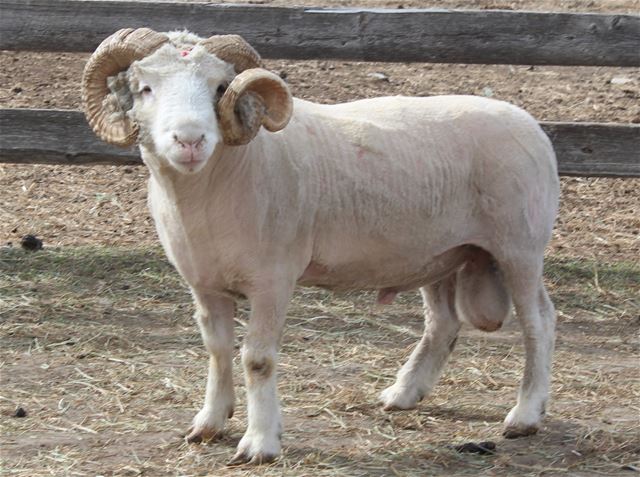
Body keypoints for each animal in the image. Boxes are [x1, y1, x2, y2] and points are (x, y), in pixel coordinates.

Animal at [82, 28, 560, 465]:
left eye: (219, 87)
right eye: (145, 88)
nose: (189, 140)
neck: (221, 180)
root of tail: (530, 124)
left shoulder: (273, 280)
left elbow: (257, 359)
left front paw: (260, 443)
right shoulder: (204, 283)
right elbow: (217, 351)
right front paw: (209, 423)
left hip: (519, 246)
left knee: (538, 322)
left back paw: (525, 415)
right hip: (439, 254)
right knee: (442, 323)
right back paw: (403, 393)